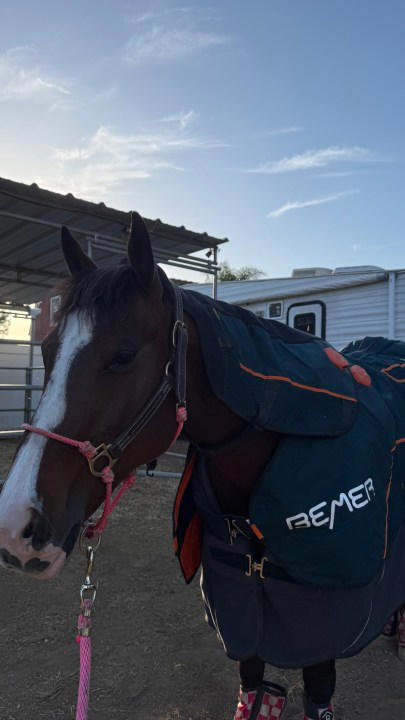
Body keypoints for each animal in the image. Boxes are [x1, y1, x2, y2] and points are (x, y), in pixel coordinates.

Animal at [0, 213, 405, 720]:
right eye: (49, 349)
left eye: (123, 355)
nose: (13, 527)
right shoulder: (239, 610)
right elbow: (251, 680)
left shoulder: (320, 635)